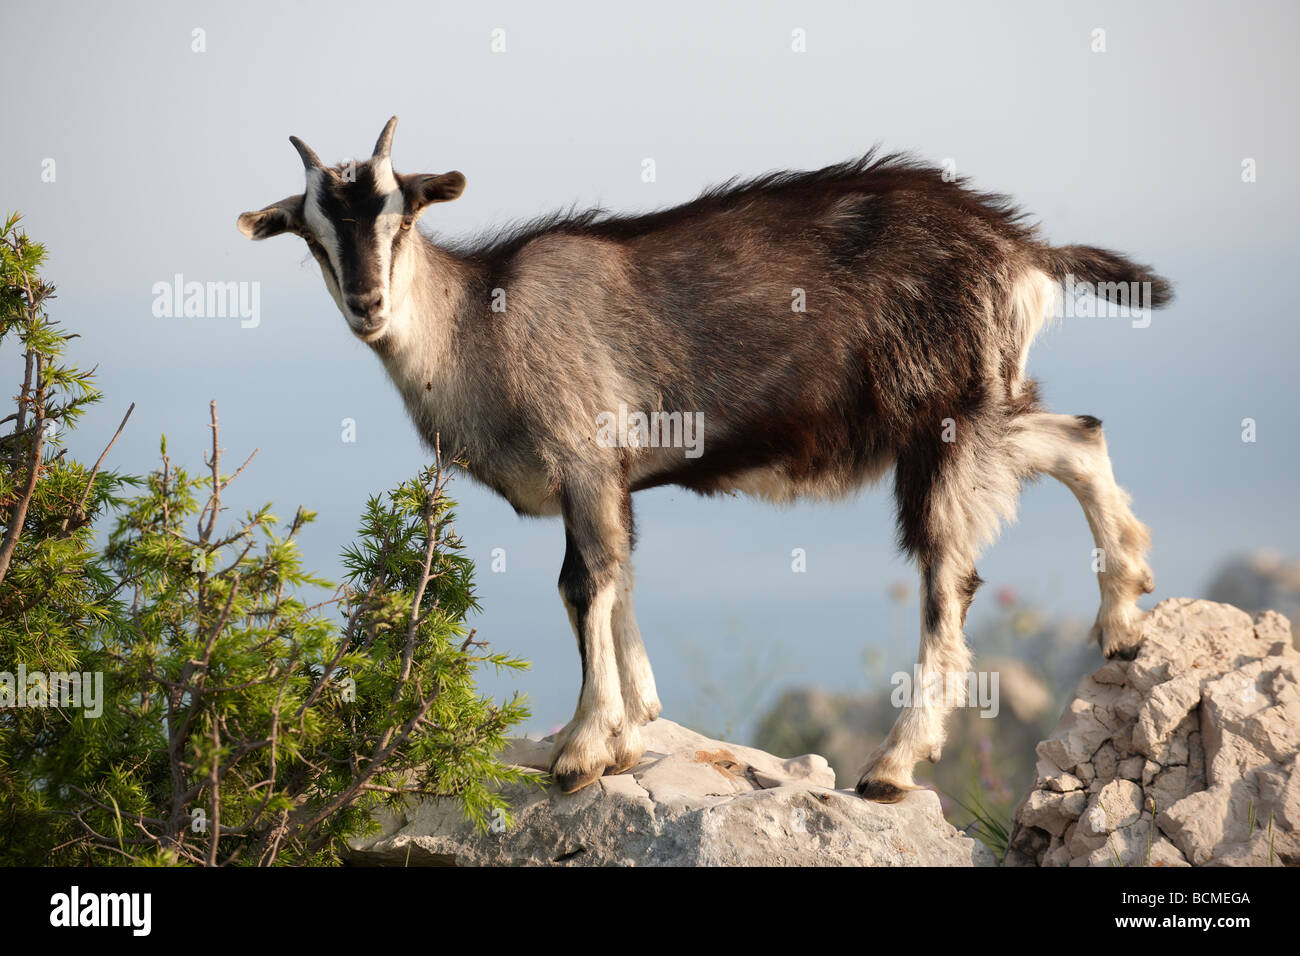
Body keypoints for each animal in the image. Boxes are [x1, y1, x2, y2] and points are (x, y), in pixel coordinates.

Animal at [238, 117, 1170, 800]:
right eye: (312, 232)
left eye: (403, 215)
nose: (368, 304)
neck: (480, 328)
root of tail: (1024, 251)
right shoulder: (609, 480)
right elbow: (615, 580)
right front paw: (632, 725)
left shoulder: (584, 457)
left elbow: (584, 583)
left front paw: (583, 751)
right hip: (986, 406)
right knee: (1077, 433)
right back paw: (1123, 618)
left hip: (942, 422)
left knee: (949, 574)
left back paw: (894, 764)